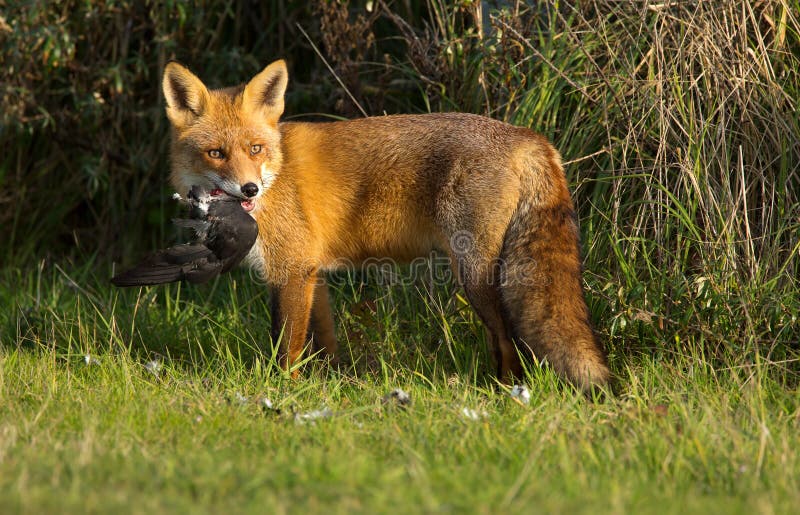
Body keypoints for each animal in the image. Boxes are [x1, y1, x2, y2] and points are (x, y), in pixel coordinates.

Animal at [161, 59, 611, 392]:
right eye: (216, 153)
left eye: (255, 149)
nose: (249, 188)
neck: (277, 172)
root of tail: (527, 134)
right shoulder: (312, 272)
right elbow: (324, 340)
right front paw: (330, 381)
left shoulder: (291, 270)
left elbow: (285, 346)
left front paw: (282, 389)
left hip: (475, 274)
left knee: (507, 340)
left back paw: (503, 393)